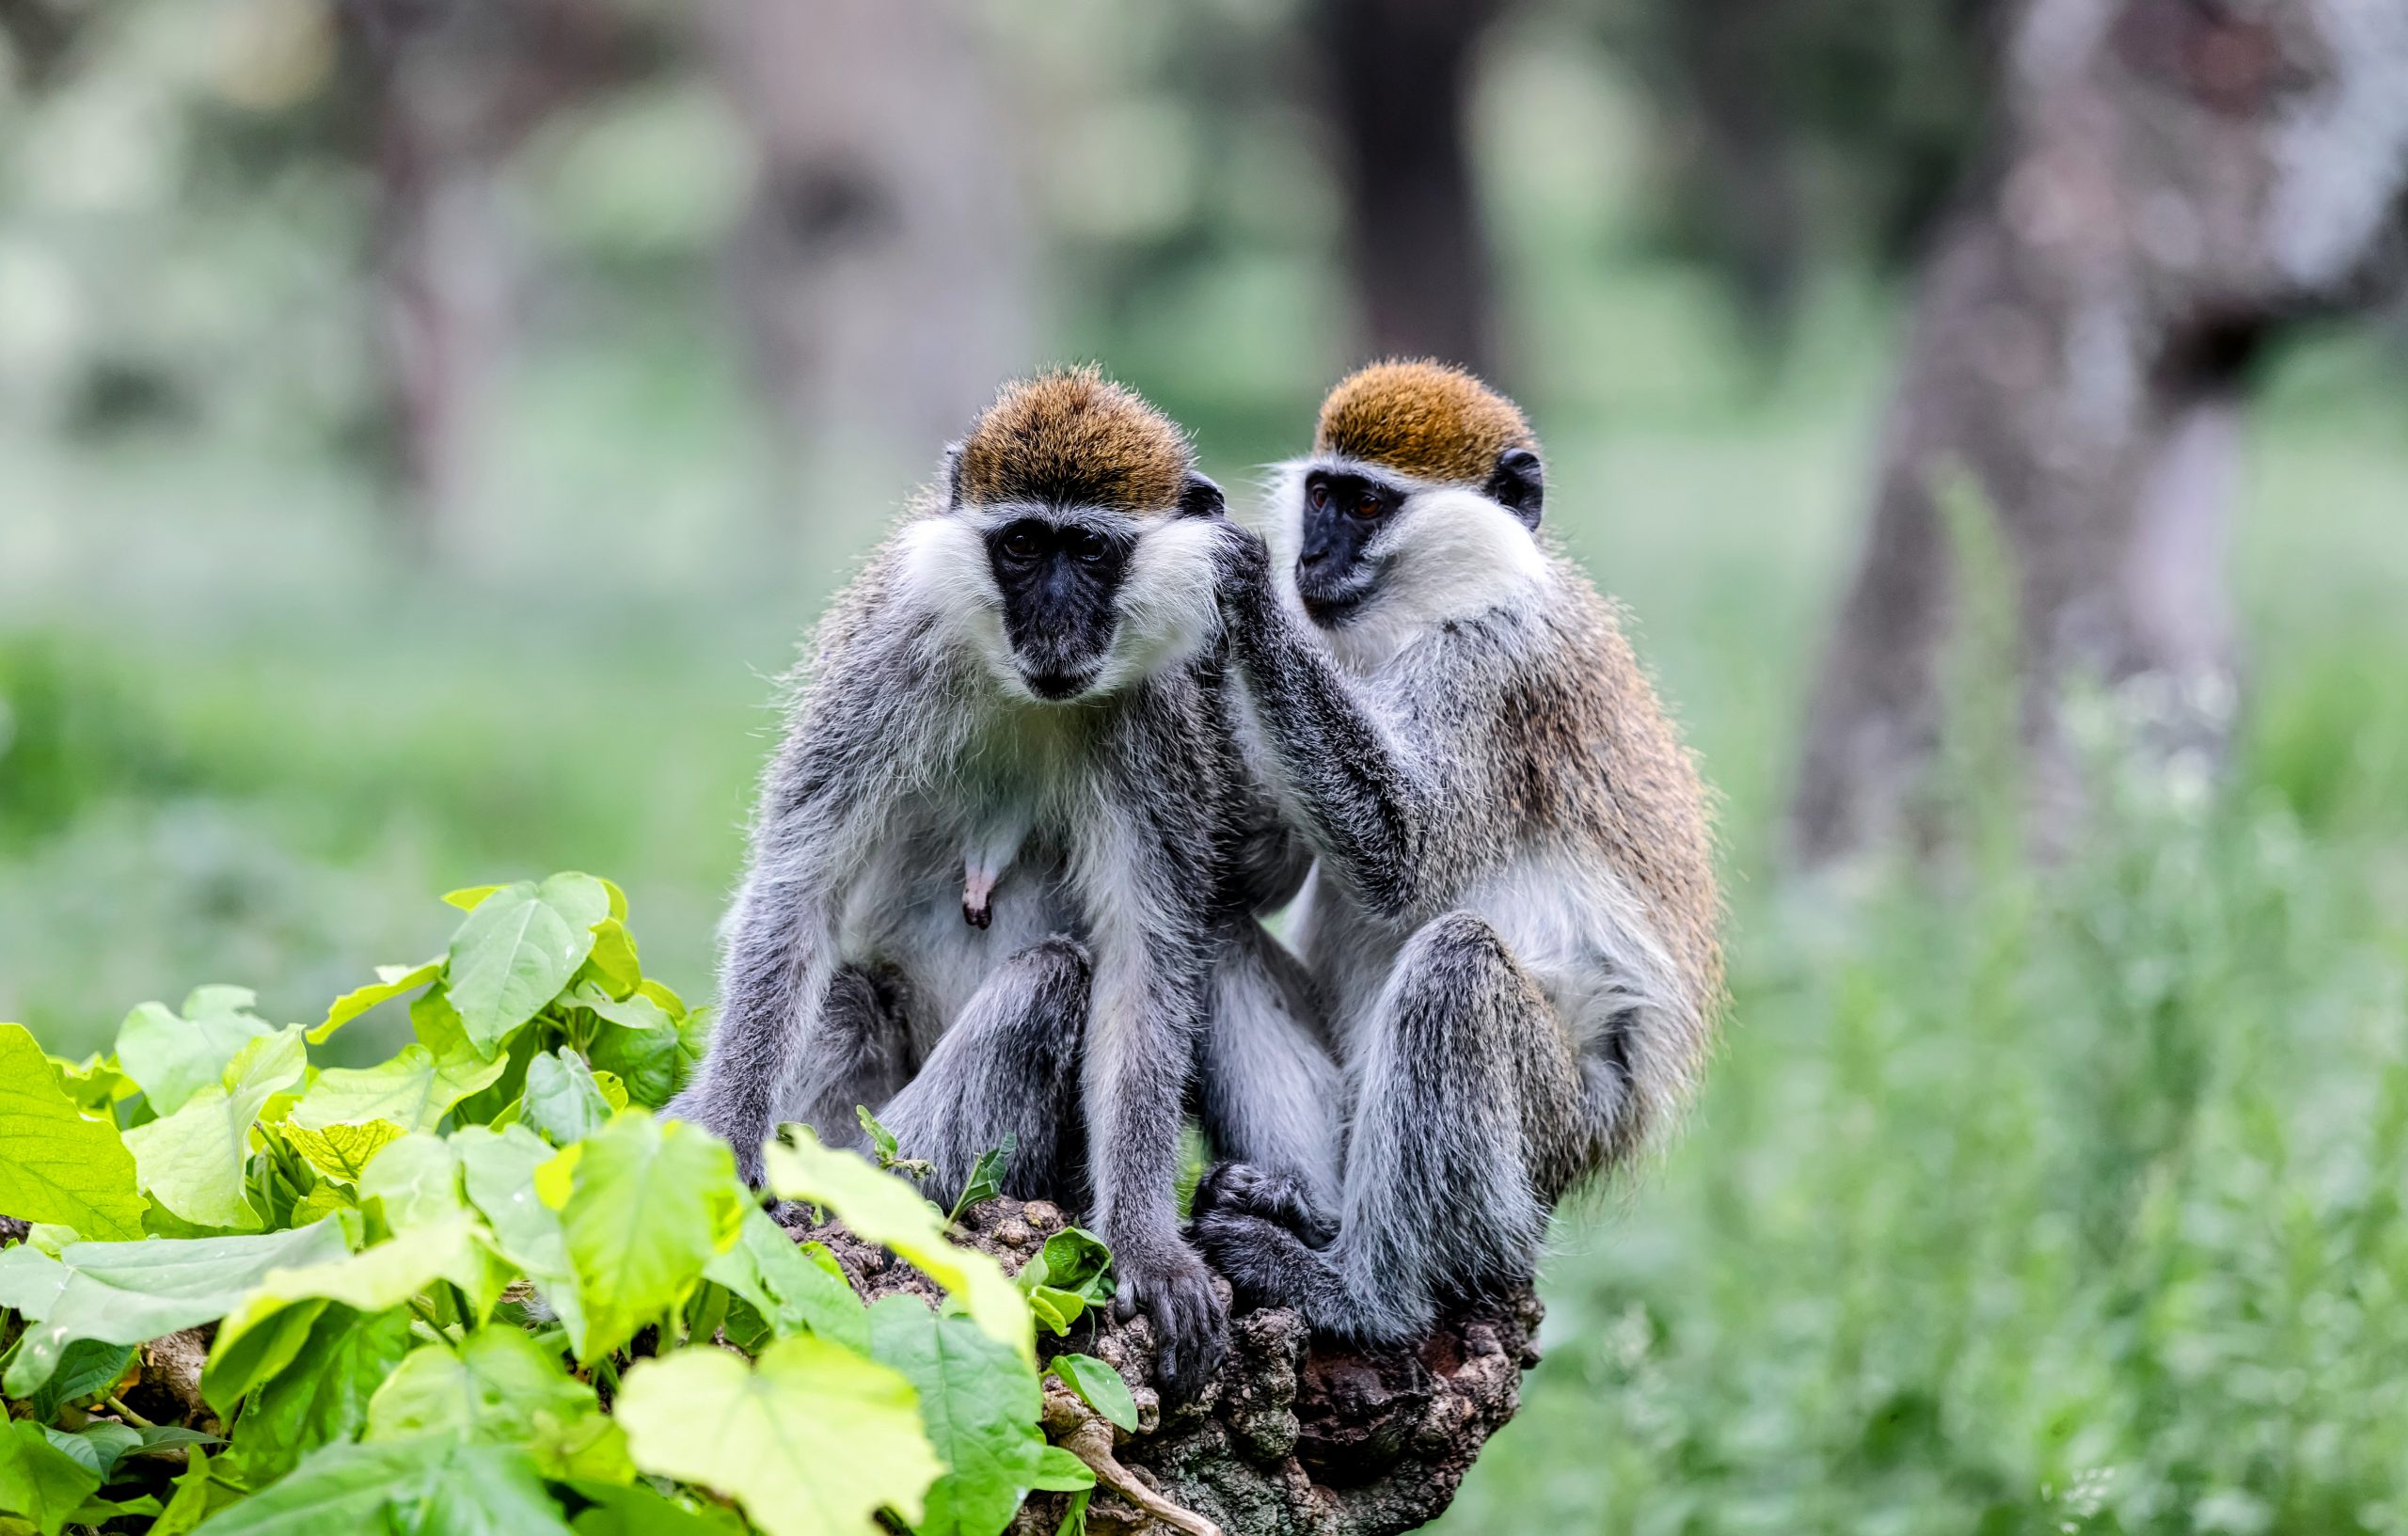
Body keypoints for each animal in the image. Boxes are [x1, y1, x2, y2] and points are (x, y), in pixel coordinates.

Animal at [665, 366, 1337, 1395]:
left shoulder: (1156, 724)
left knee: (1050, 978)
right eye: (1022, 545)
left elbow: (1146, 958)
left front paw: (1147, 1246)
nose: (1053, 623)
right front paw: (728, 1140)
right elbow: (799, 884)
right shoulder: (889, 657)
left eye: (1089, 551)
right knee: (849, 991)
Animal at [1189, 360, 1723, 1343]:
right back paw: (1300, 1209)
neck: (1432, 612)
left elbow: (1401, 854)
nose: (1306, 561)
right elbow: (1248, 873)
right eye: (1320, 496)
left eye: (1365, 505)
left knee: (1458, 967)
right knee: (1206, 924)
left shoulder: (1497, 667)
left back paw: (1361, 1291)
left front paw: (1242, 585)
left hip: (1553, 1124)